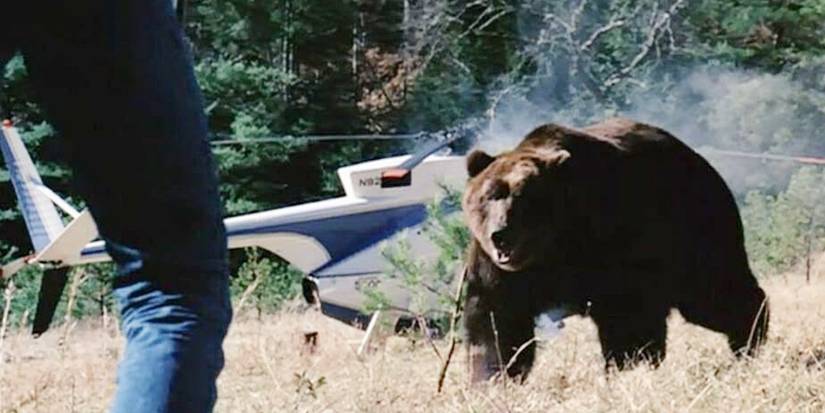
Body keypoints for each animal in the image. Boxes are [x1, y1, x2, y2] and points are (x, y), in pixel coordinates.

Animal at [461, 117, 769, 381]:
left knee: (713, 293)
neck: (556, 245)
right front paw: (494, 376)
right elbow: (497, 321)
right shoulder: (500, 271)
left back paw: (750, 338)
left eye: (524, 198)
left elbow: (626, 315)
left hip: (693, 226)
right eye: (490, 196)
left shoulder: (614, 241)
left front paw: (628, 365)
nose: (501, 235)